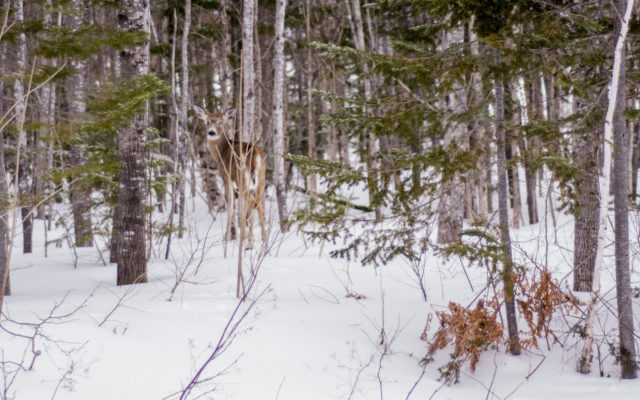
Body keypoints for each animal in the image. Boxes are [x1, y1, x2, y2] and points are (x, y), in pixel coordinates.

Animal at [193, 105, 267, 250]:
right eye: (207, 122)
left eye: (220, 122)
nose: (211, 132)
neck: (221, 152)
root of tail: (255, 155)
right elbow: (240, 208)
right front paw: (240, 235)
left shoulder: (226, 176)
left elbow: (230, 204)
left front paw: (227, 237)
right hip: (261, 179)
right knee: (259, 202)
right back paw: (264, 238)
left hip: (243, 179)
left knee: (251, 202)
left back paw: (250, 243)